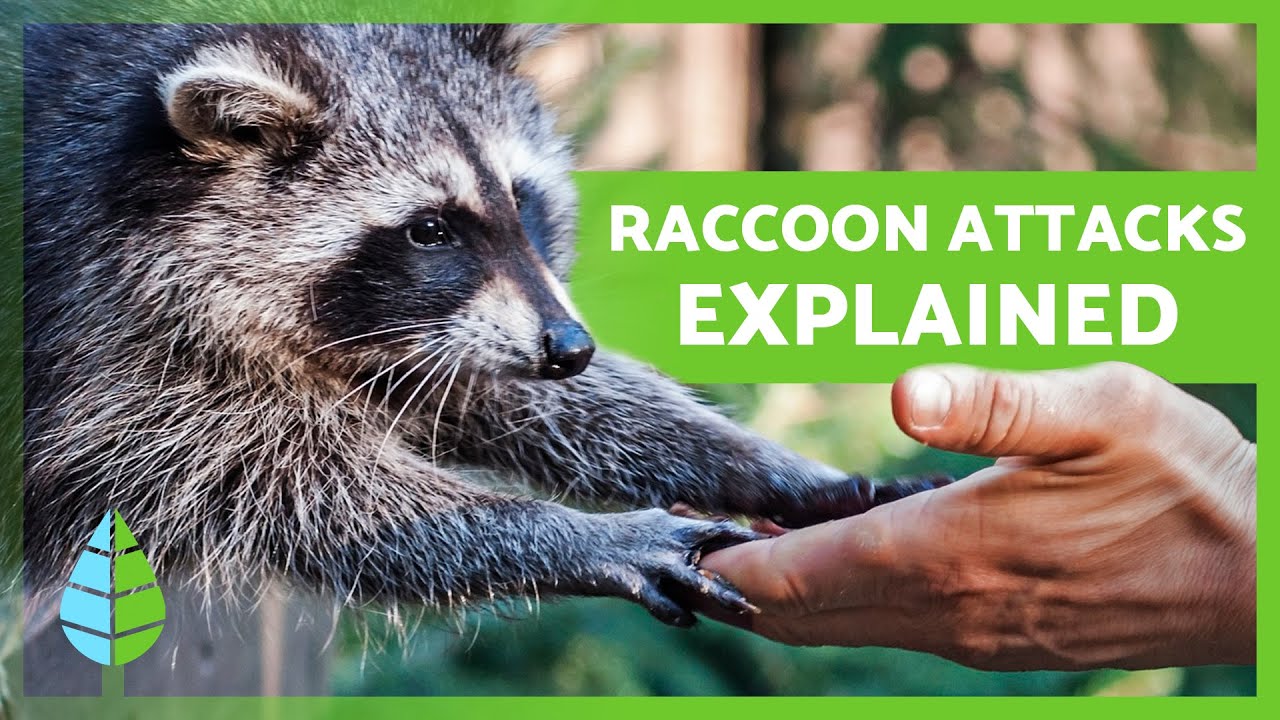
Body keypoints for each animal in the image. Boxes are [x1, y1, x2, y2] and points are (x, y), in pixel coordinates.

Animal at [22, 24, 945, 628]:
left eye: (521, 199)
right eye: (429, 229)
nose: (571, 349)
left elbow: (498, 393)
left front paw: (771, 467)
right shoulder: (106, 334)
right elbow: (280, 485)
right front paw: (573, 537)